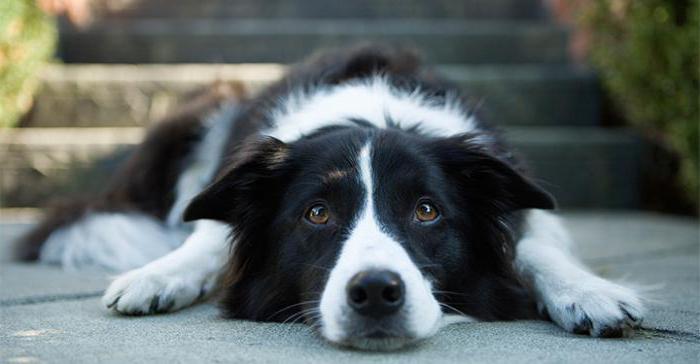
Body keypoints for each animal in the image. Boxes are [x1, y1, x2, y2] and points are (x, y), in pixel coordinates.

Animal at [15, 44, 644, 350]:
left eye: (427, 211)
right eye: (316, 214)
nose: (376, 293)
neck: (373, 112)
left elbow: (534, 245)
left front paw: (589, 293)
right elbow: (210, 238)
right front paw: (158, 276)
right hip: (207, 107)